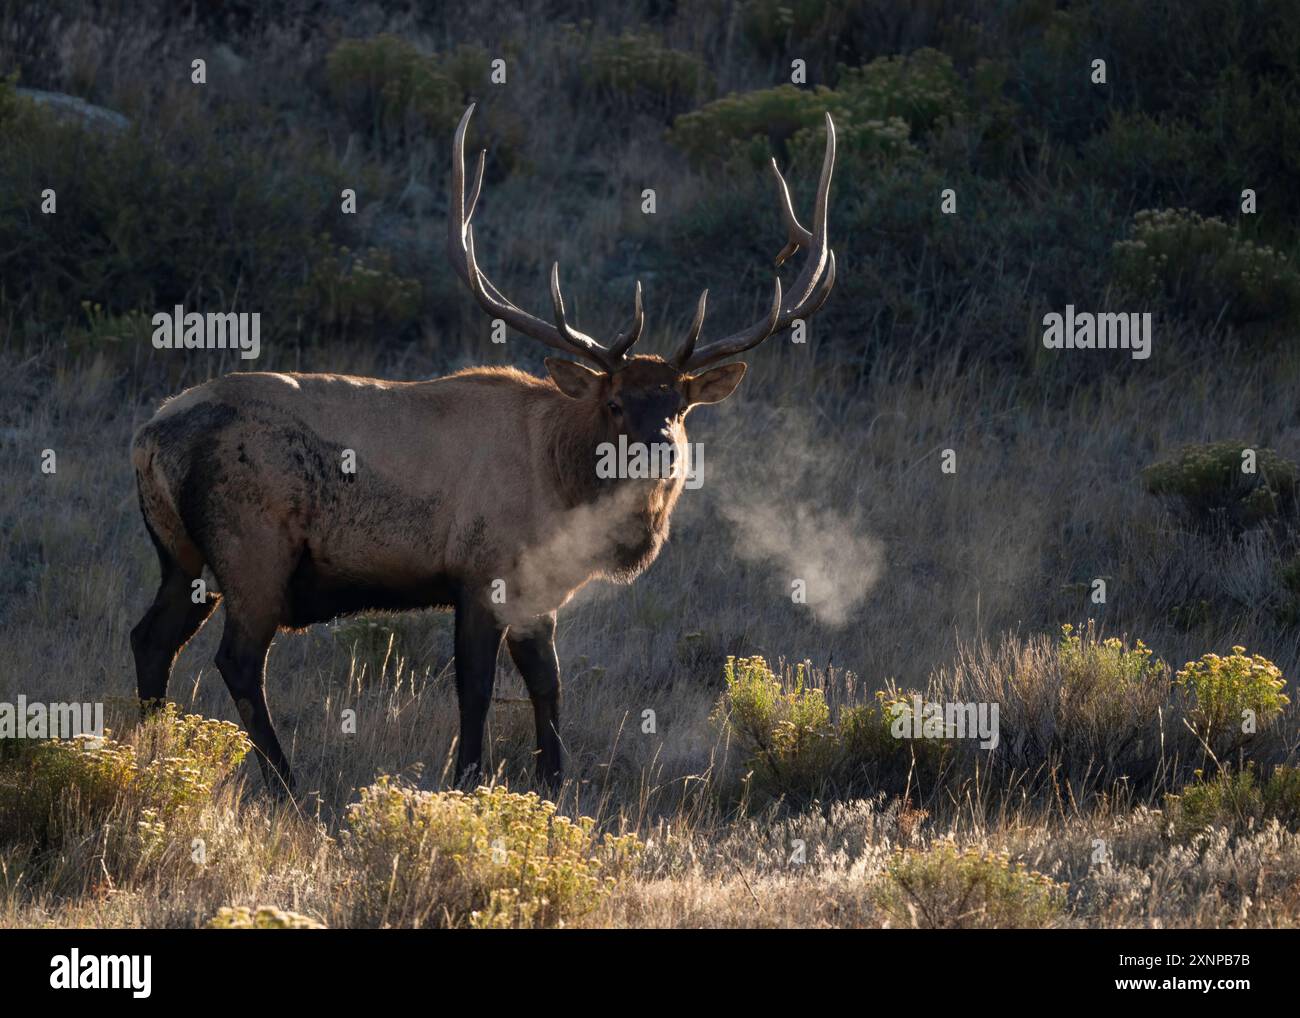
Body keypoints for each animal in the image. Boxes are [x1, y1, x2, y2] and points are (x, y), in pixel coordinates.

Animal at [129, 104, 836, 794]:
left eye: (680, 407)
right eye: (614, 404)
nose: (660, 449)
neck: (563, 489)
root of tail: (148, 438)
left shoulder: (538, 596)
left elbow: (548, 686)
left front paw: (554, 784)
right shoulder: (480, 574)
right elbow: (475, 690)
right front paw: (466, 781)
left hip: (184, 557)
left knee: (149, 639)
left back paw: (152, 756)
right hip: (252, 549)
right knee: (238, 661)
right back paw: (284, 785)